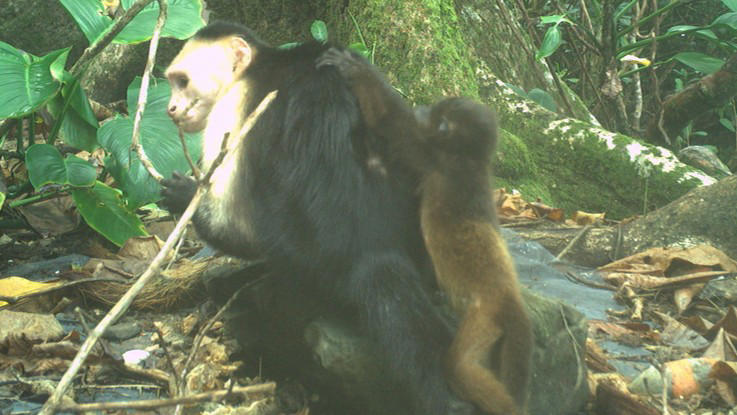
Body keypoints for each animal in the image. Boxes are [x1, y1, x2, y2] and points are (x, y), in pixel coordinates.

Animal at [159, 22, 475, 415]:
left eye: (183, 81)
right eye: (172, 82)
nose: (170, 108)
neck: (258, 66)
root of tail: (373, 252)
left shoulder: (232, 109)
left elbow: (234, 226)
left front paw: (184, 195)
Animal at [316, 48, 534, 415]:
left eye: (436, 114)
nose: (423, 107)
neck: (470, 159)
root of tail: (510, 296)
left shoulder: (434, 157)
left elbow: (390, 122)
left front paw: (357, 70)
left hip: (485, 314)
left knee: (459, 366)